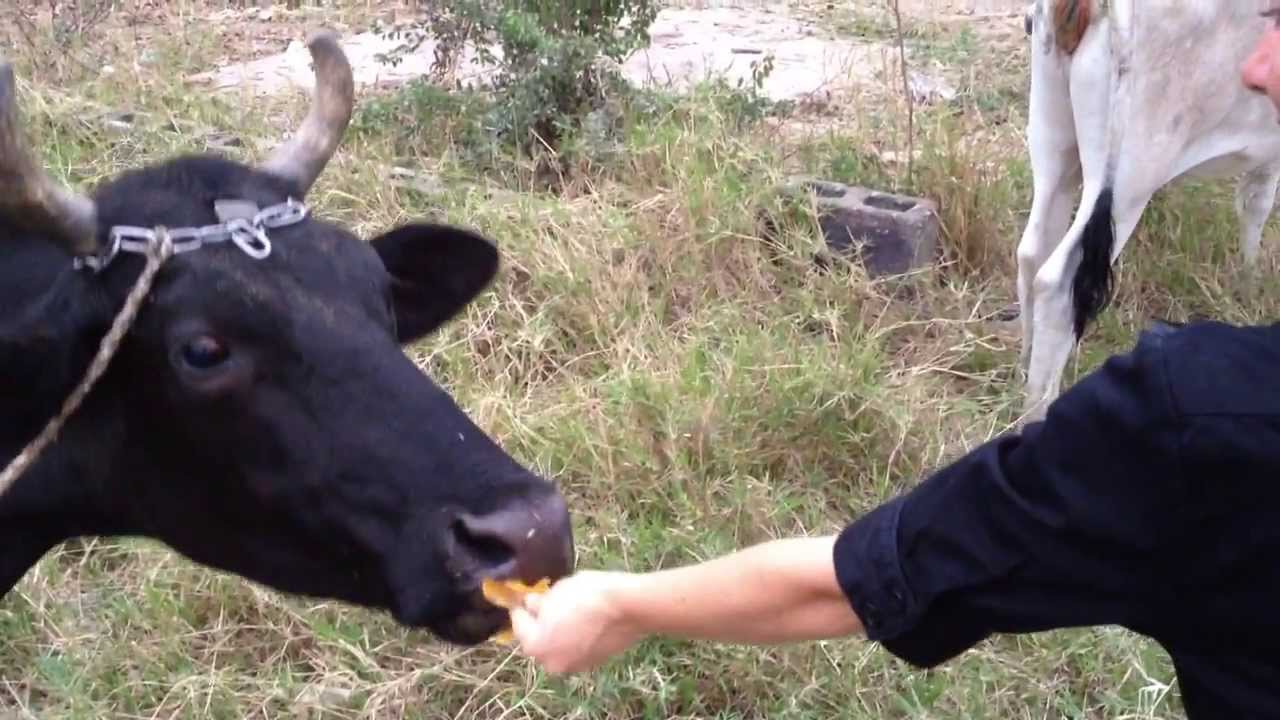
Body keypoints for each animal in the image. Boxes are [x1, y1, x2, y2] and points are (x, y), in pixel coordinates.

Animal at [1016, 1, 1280, 420]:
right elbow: (1258, 202)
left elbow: (1254, 201)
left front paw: (1248, 279)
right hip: (1129, 176)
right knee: (1058, 285)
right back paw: (1039, 410)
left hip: (1053, 141)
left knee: (1031, 253)